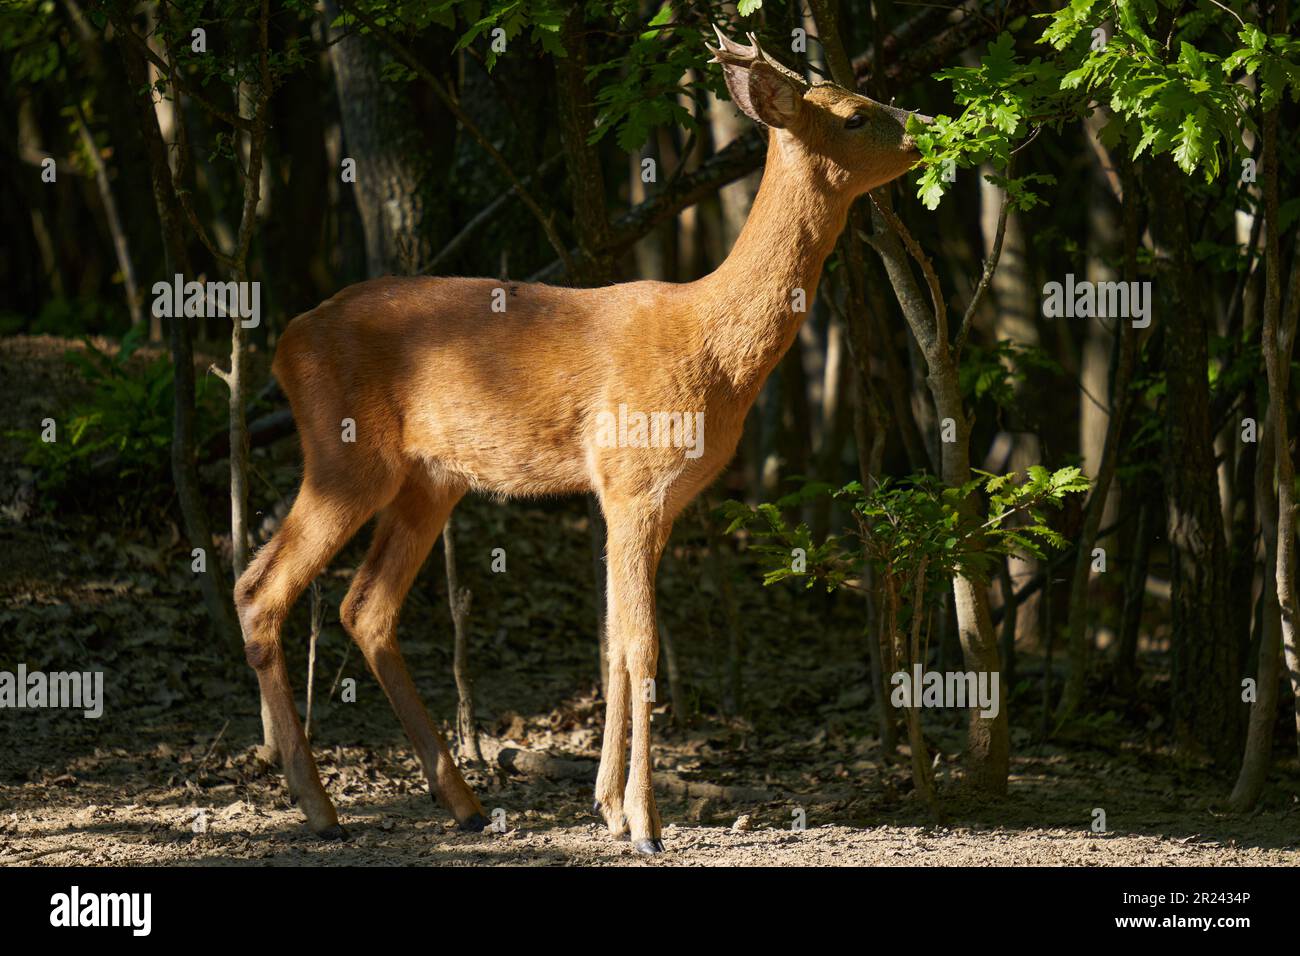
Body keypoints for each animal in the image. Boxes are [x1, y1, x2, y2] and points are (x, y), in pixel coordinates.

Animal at [233, 24, 929, 854]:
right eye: (856, 114)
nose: (925, 126)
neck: (712, 344)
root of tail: (285, 344)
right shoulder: (632, 482)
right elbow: (640, 647)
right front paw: (646, 824)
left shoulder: (643, 499)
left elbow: (610, 645)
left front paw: (607, 806)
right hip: (346, 455)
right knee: (261, 588)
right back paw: (320, 807)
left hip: (432, 478)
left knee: (364, 606)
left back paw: (462, 802)